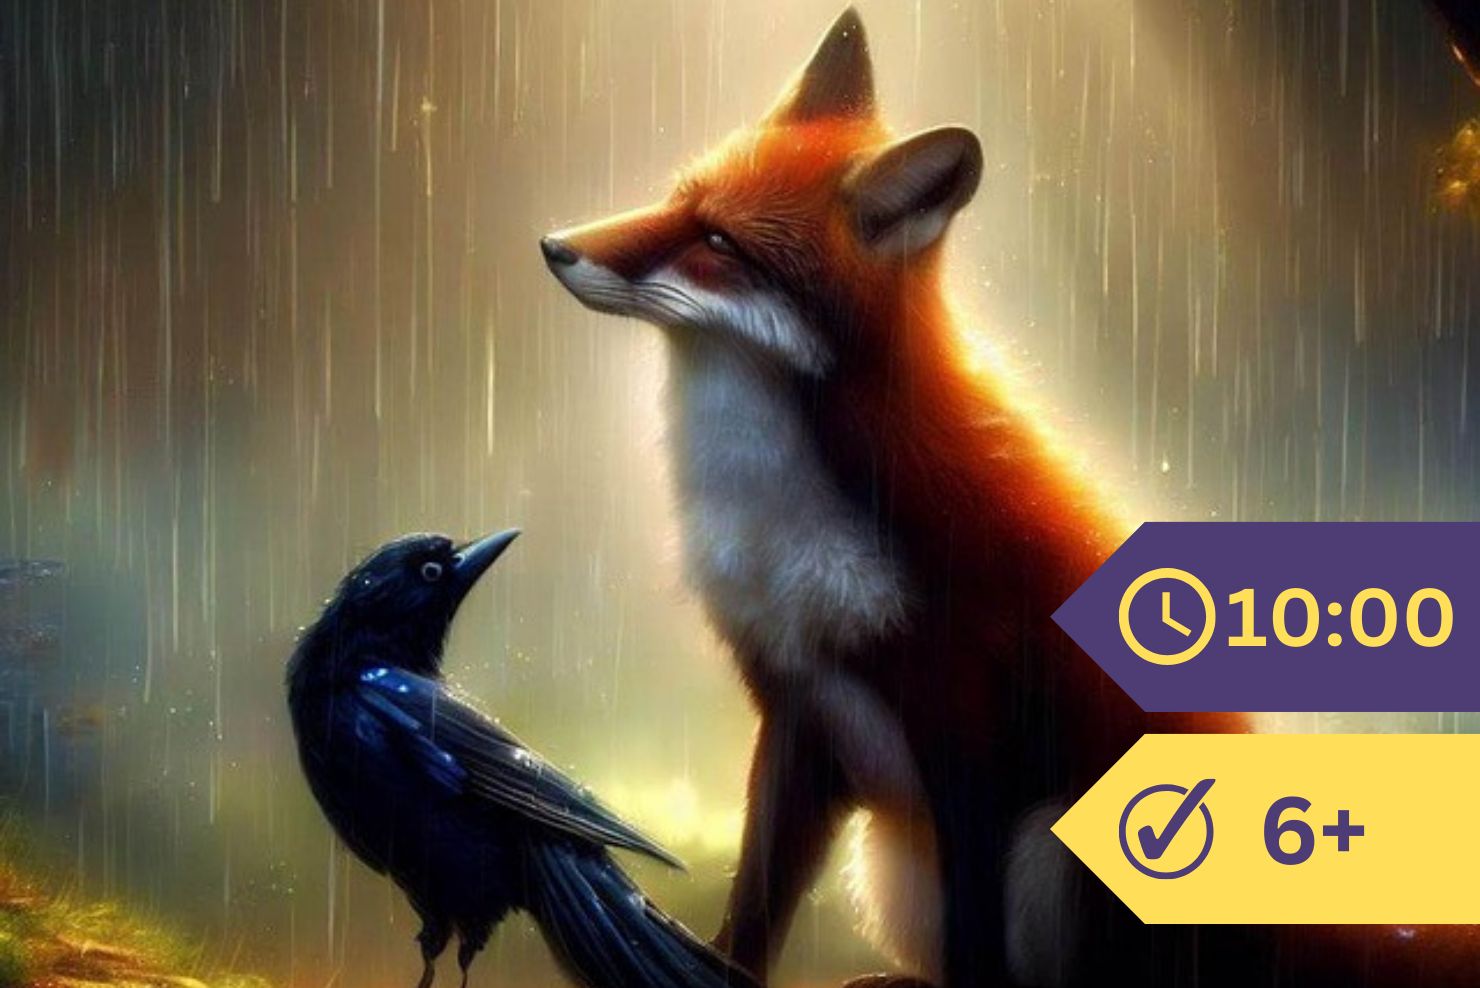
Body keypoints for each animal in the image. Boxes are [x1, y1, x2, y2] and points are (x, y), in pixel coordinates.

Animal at [543, 8, 1480, 987]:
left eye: (719, 242)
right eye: (676, 200)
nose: (554, 246)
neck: (785, 513)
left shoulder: (967, 720)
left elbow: (974, 932)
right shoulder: (797, 705)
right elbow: (756, 899)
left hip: (1065, 845)